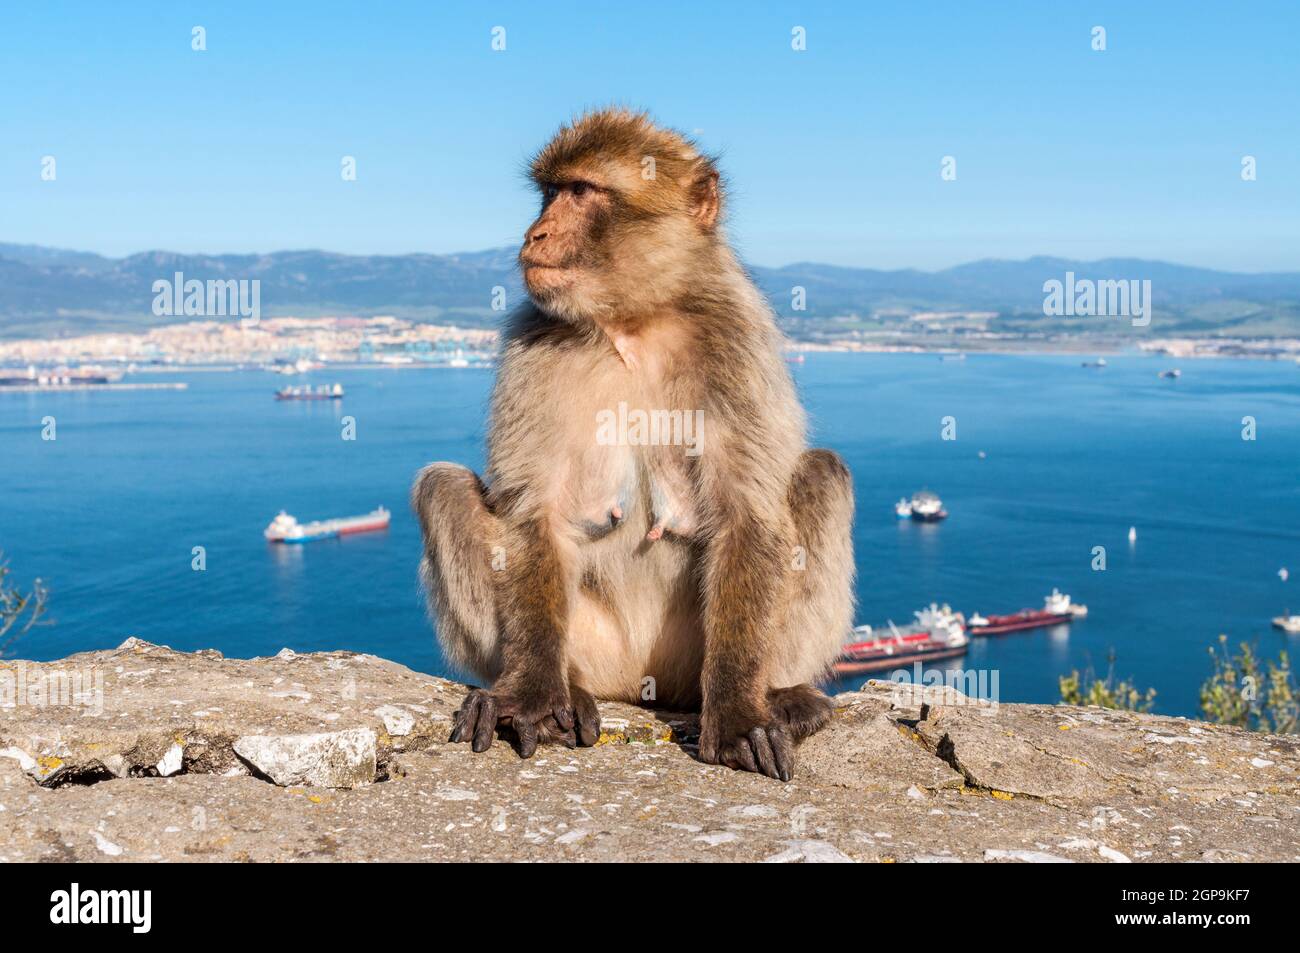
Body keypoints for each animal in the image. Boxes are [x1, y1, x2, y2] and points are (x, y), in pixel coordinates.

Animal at [413, 108, 854, 781]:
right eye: (550, 192)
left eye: (581, 191)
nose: (536, 233)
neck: (634, 321)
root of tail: (640, 686)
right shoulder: (532, 341)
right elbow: (534, 513)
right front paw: (532, 696)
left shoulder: (737, 338)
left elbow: (748, 514)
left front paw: (739, 713)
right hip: (596, 646)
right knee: (442, 488)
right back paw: (569, 691)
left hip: (689, 659)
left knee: (823, 475)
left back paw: (778, 693)